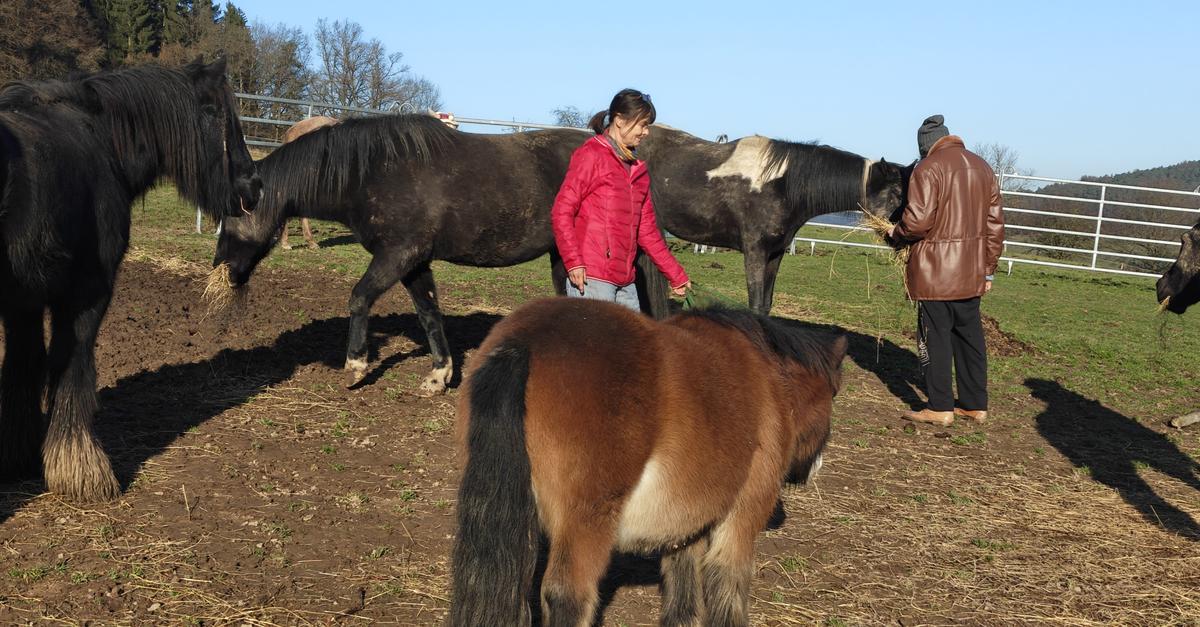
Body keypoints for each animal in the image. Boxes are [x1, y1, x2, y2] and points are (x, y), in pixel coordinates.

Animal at [0, 58, 262, 502]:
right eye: (220, 115)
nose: (253, 187)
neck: (99, 137)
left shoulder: (24, 304)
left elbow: (24, 367)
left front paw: (20, 456)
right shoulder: (87, 295)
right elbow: (72, 368)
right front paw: (81, 471)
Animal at [213, 114, 589, 394]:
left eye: (229, 218)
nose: (223, 270)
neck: (373, 172)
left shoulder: (397, 255)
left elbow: (359, 298)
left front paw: (356, 365)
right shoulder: (414, 264)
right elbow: (429, 313)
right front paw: (439, 375)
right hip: (563, 260)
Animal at [451, 298, 846, 626]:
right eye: (832, 396)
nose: (814, 468)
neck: (768, 379)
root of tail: (524, 343)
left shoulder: (685, 528)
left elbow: (682, 597)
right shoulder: (741, 521)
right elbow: (727, 592)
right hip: (584, 527)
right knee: (567, 599)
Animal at [637, 125, 909, 315]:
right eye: (897, 193)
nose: (902, 237)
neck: (781, 185)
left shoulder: (775, 253)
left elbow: (766, 304)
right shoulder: (755, 252)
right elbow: (756, 304)